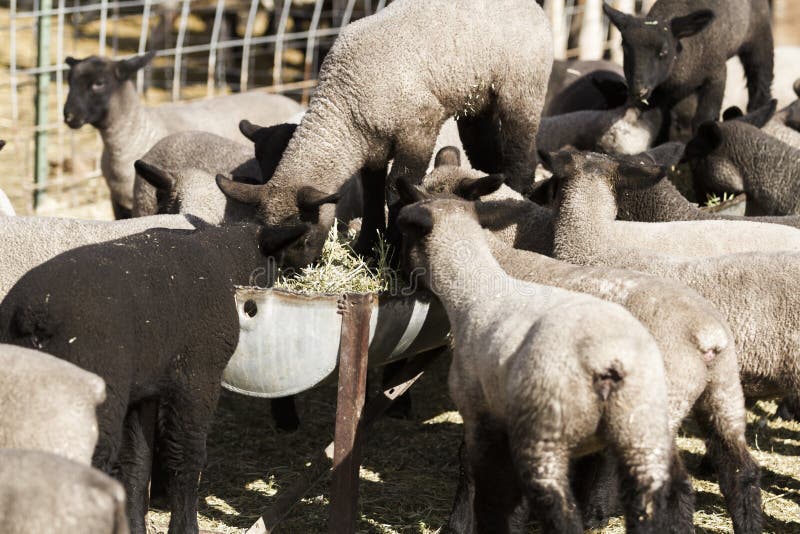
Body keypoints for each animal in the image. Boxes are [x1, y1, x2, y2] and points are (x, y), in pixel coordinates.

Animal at [217, 0, 554, 269]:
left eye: (303, 237)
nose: (294, 270)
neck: (345, 104)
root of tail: (533, 7)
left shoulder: (419, 129)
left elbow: (396, 189)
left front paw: (390, 252)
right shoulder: (372, 145)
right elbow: (372, 192)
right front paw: (367, 247)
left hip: (522, 87)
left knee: (521, 153)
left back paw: (519, 193)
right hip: (476, 98)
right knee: (483, 148)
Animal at [398, 182, 757, 531]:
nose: (400, 279)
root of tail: (706, 333)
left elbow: (473, 465)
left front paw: (459, 524)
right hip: (721, 393)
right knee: (738, 469)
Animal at [604, 0, 773, 132]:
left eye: (664, 51)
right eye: (624, 47)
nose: (639, 90)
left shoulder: (716, 75)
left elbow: (703, 119)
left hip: (759, 36)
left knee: (761, 77)